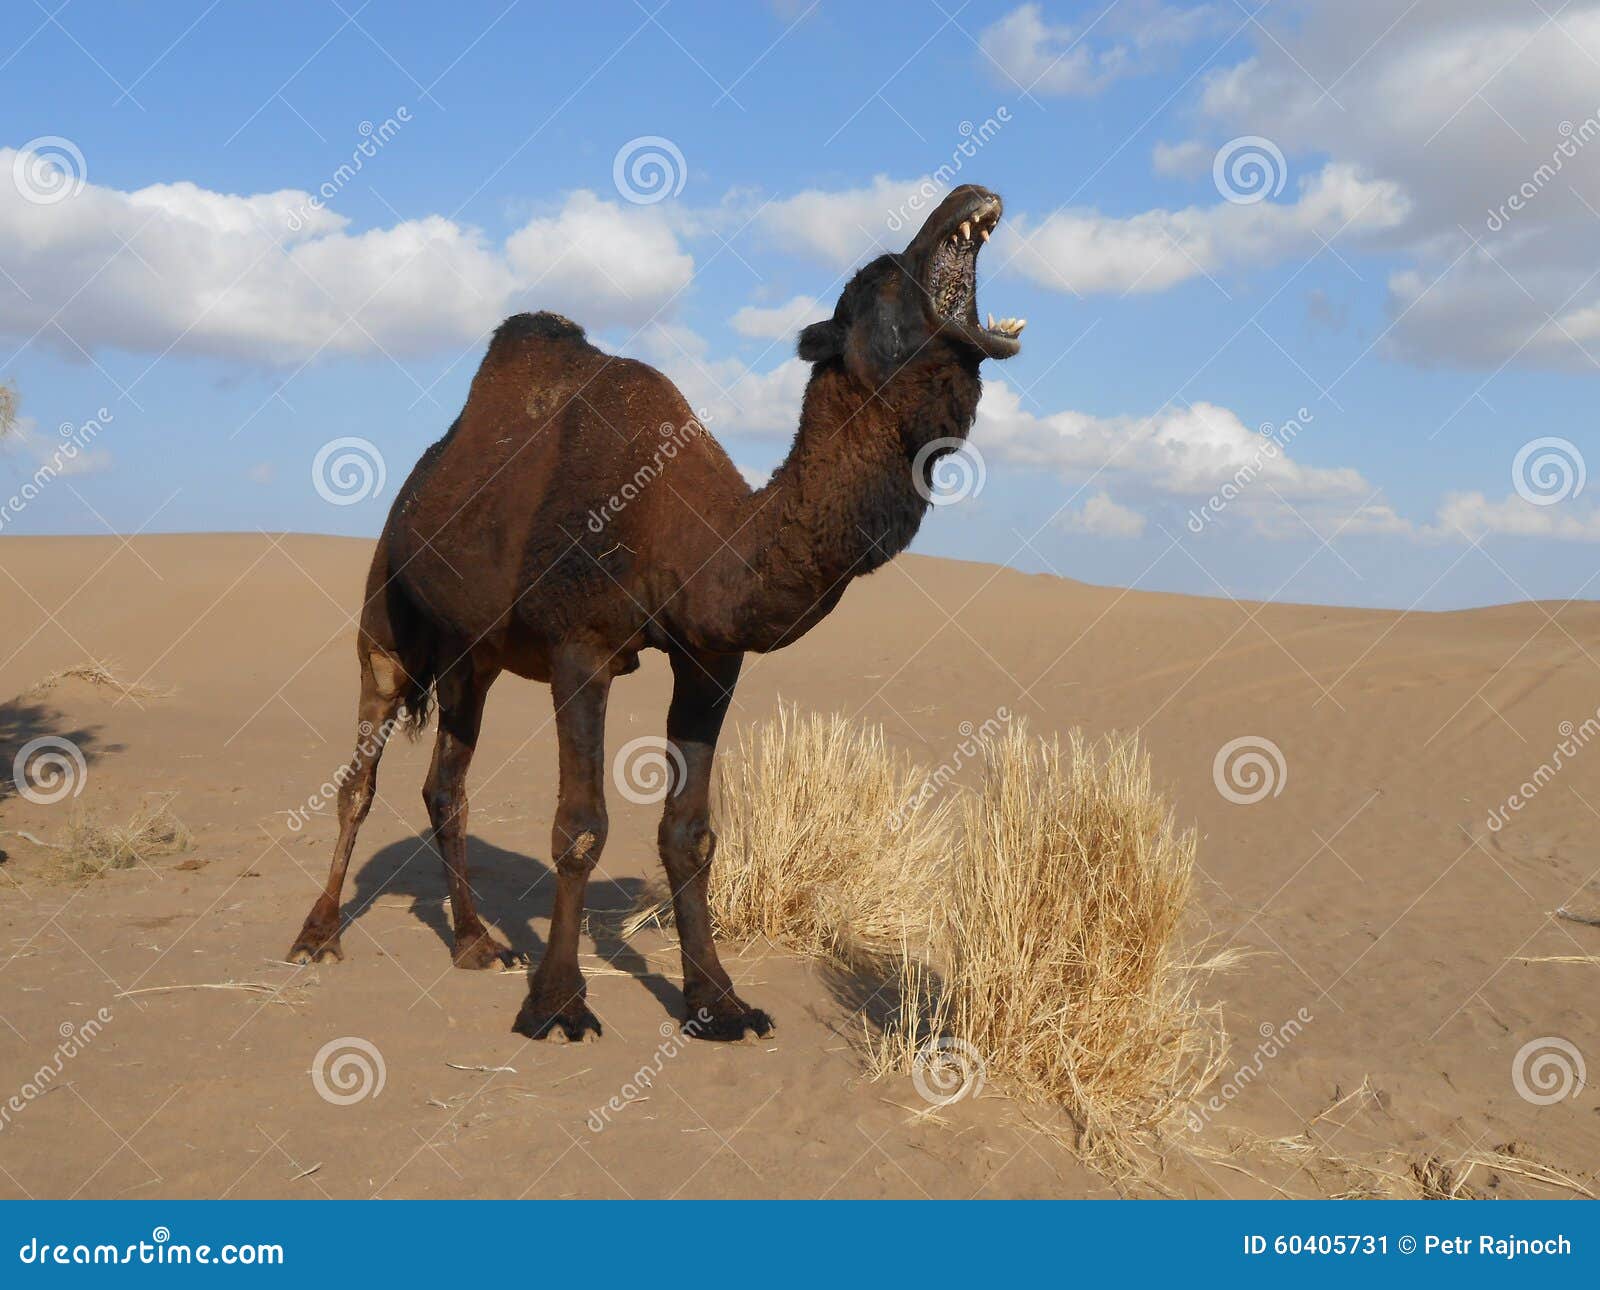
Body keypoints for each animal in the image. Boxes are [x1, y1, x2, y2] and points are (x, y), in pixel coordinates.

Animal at [286, 184, 1024, 1042]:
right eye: (878, 278)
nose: (966, 197)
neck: (695, 536)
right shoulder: (580, 648)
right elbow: (579, 826)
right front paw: (558, 1004)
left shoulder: (711, 658)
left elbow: (690, 834)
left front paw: (718, 1002)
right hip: (387, 617)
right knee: (360, 778)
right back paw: (317, 934)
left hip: (473, 656)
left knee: (446, 788)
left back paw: (475, 943)